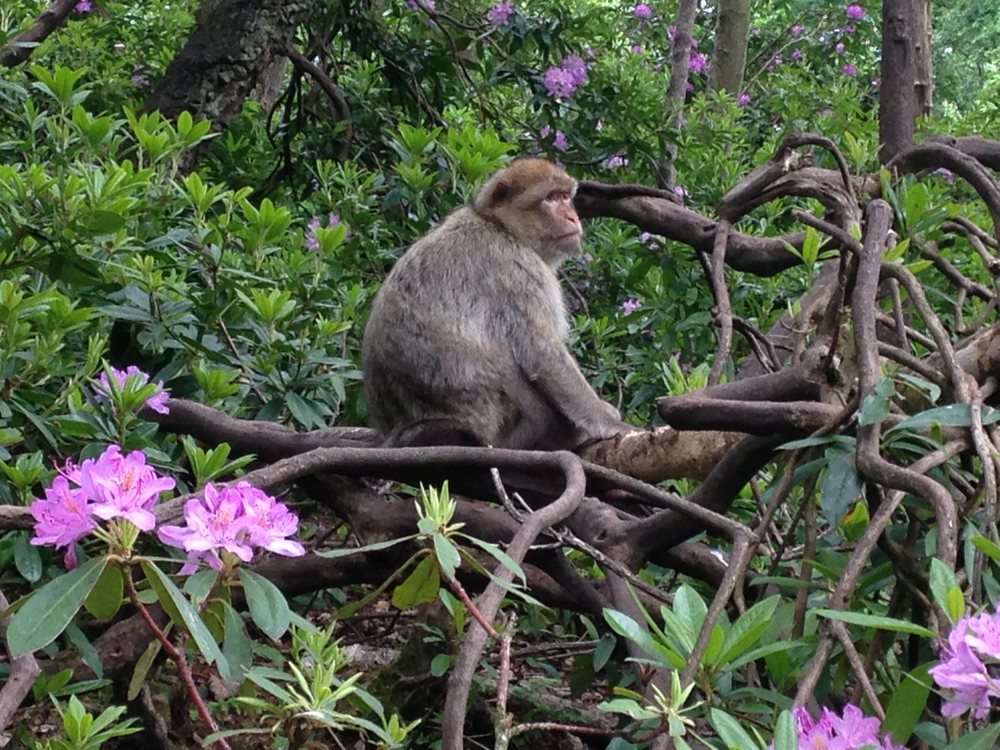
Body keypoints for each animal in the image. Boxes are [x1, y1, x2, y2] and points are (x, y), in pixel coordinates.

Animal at [362, 158, 630, 450]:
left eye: (564, 197)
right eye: (549, 198)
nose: (572, 217)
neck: (499, 226)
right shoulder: (518, 270)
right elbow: (542, 353)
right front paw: (607, 421)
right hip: (498, 425)